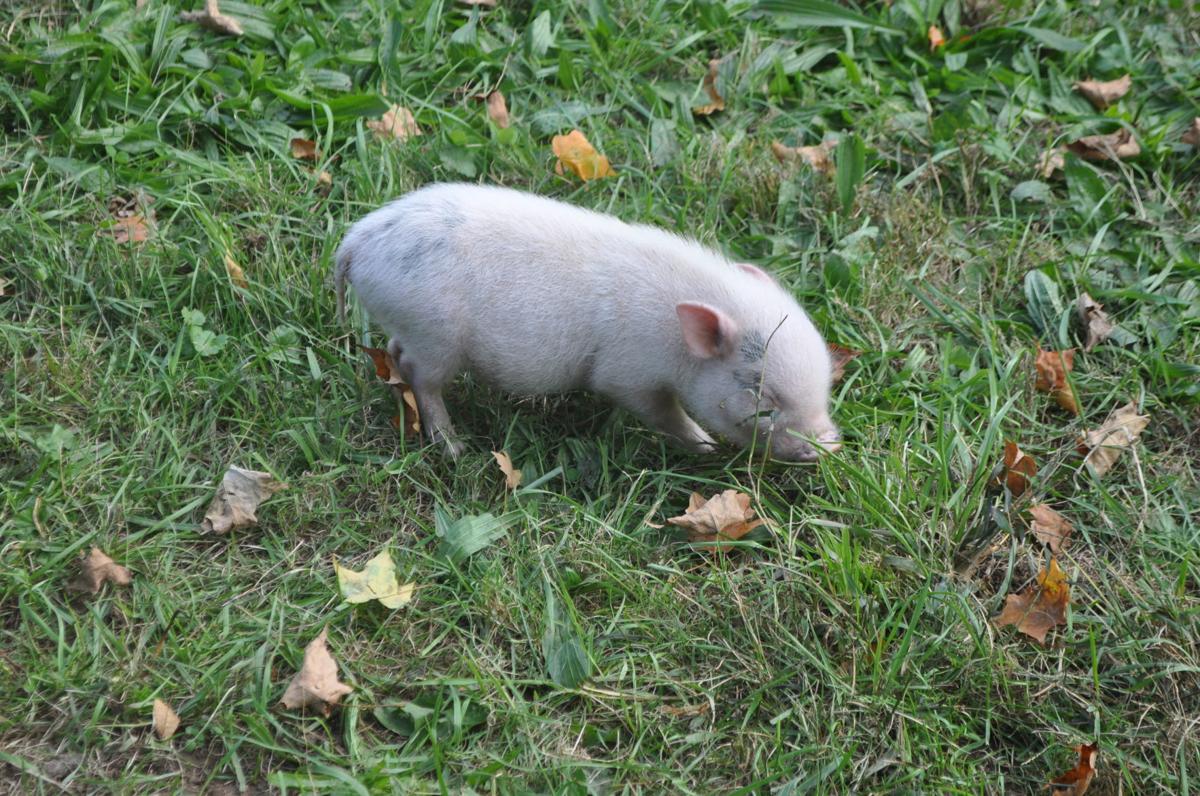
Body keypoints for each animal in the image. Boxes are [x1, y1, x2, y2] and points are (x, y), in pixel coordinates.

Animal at [335, 183, 840, 461]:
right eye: (763, 399)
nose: (830, 447)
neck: (674, 340)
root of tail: (356, 240)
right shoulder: (626, 374)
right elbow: (662, 413)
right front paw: (706, 446)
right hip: (435, 333)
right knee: (423, 378)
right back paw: (455, 448)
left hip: (413, 327)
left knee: (396, 355)